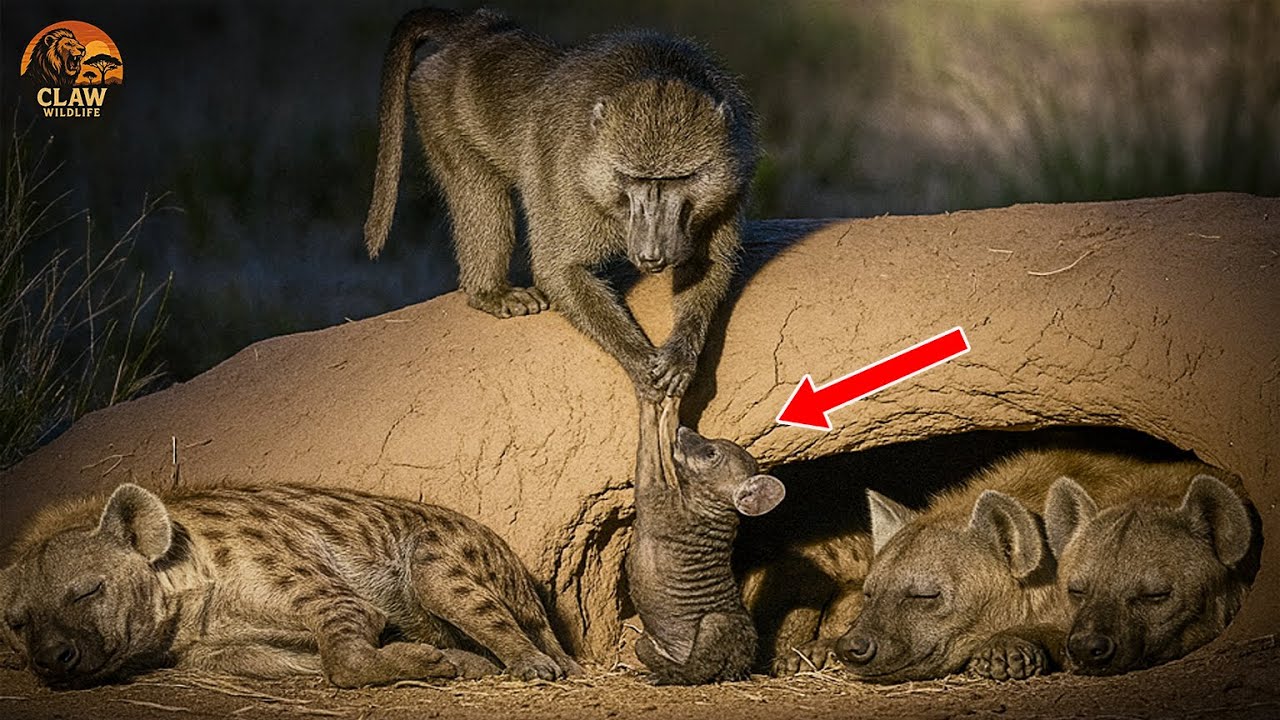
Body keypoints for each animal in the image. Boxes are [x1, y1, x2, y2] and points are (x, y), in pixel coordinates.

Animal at [364, 8, 757, 400]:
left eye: (679, 178)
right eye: (632, 178)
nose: (651, 254)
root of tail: (476, 30)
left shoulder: (730, 185)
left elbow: (710, 263)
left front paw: (679, 357)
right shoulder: (567, 178)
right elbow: (558, 270)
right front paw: (639, 363)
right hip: (437, 103)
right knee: (477, 187)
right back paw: (488, 292)